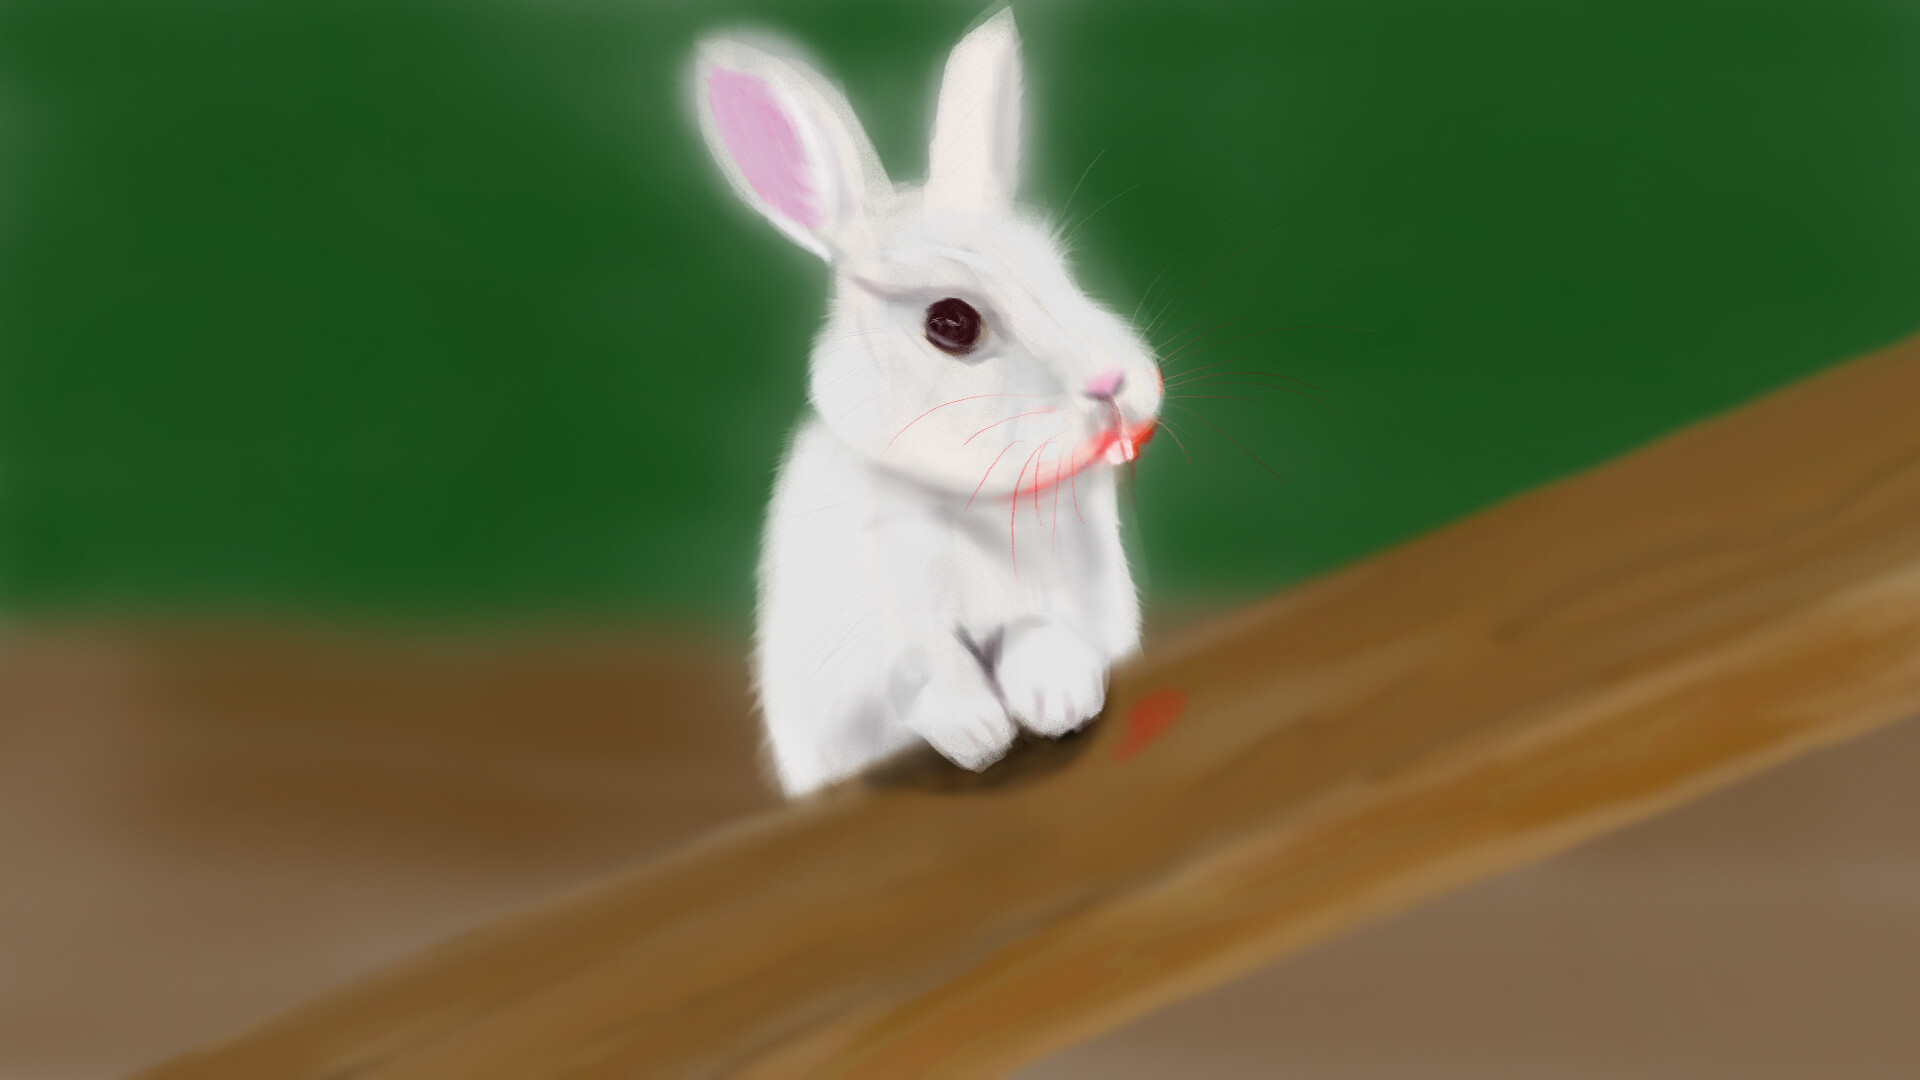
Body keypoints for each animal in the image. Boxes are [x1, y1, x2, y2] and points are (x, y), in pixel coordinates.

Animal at [690, 9, 1161, 795]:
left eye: (1060, 270)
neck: (975, 502)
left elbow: (1043, 634)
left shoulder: (1081, 606)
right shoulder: (857, 659)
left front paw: (1059, 700)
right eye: (951, 323)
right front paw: (981, 735)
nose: (1112, 387)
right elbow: (919, 676)